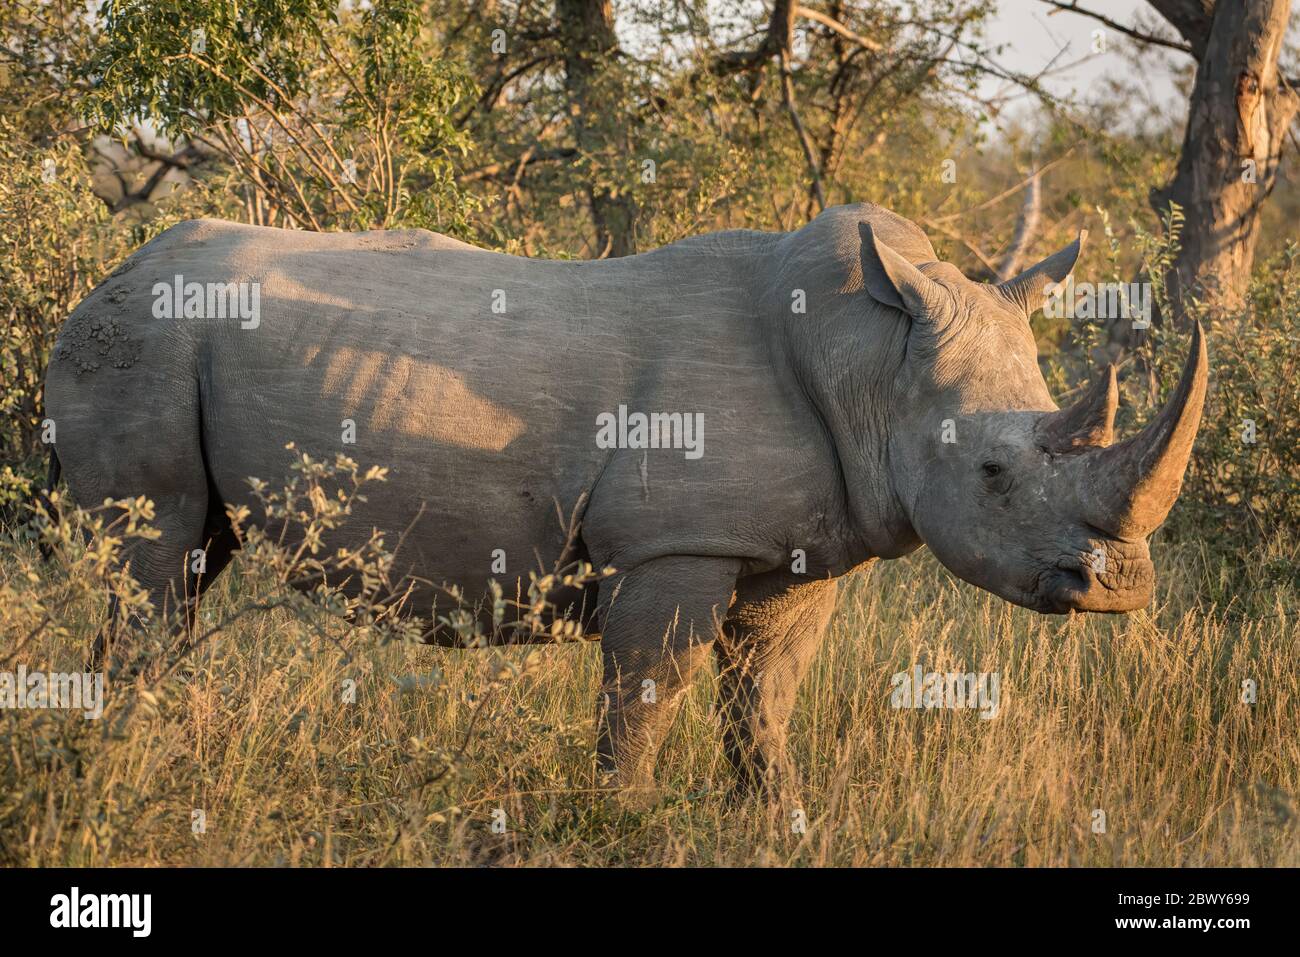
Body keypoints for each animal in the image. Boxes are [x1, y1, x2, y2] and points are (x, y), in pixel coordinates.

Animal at [43, 203, 1207, 795]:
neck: (873, 361)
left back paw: (126, 752)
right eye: (995, 474)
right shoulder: (672, 544)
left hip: (156, 340)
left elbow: (763, 698)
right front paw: (624, 819)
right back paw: (125, 765)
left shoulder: (794, 549)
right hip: (139, 342)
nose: (1119, 587)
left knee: (185, 563)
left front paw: (773, 820)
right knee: (155, 556)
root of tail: (108, 271)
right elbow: (650, 691)